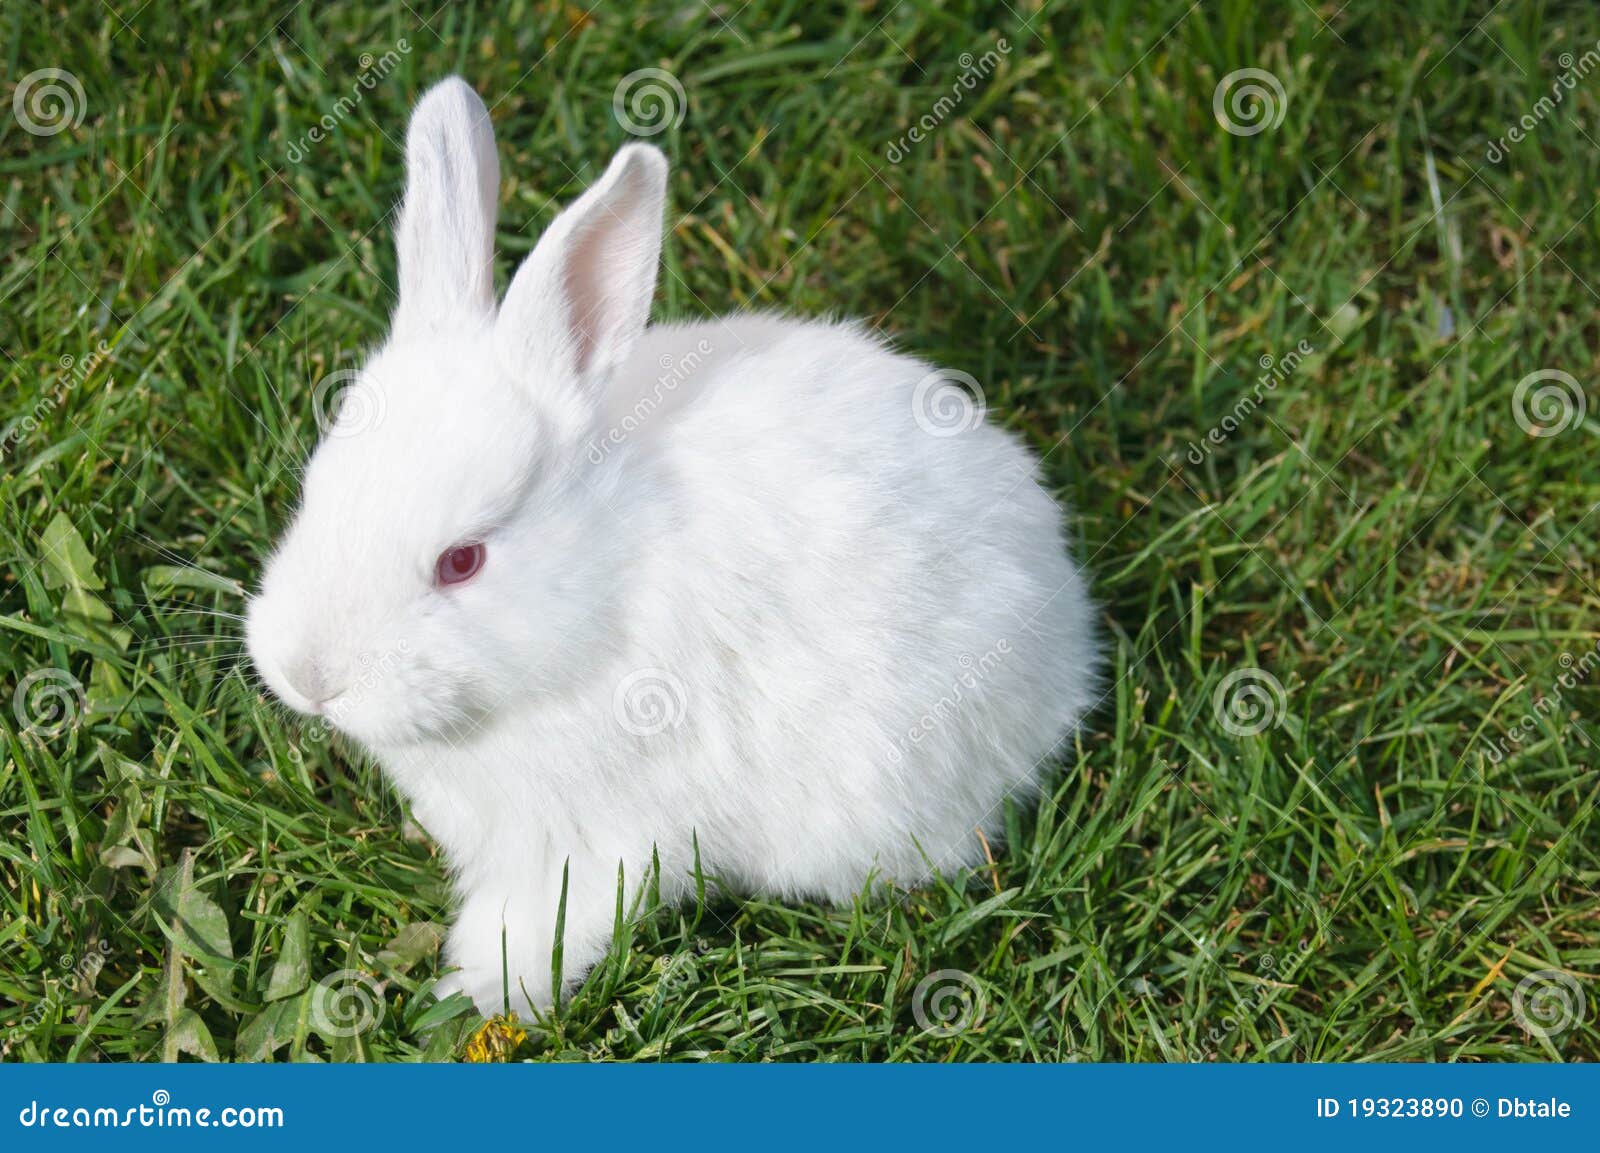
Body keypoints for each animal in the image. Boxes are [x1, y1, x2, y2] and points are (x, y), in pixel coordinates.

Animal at [246, 76, 1098, 1015]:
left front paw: (480, 992)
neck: (605, 590)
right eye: (316, 488)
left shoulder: (600, 836)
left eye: (461, 561)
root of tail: (1068, 631)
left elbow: (548, 919)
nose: (311, 677)